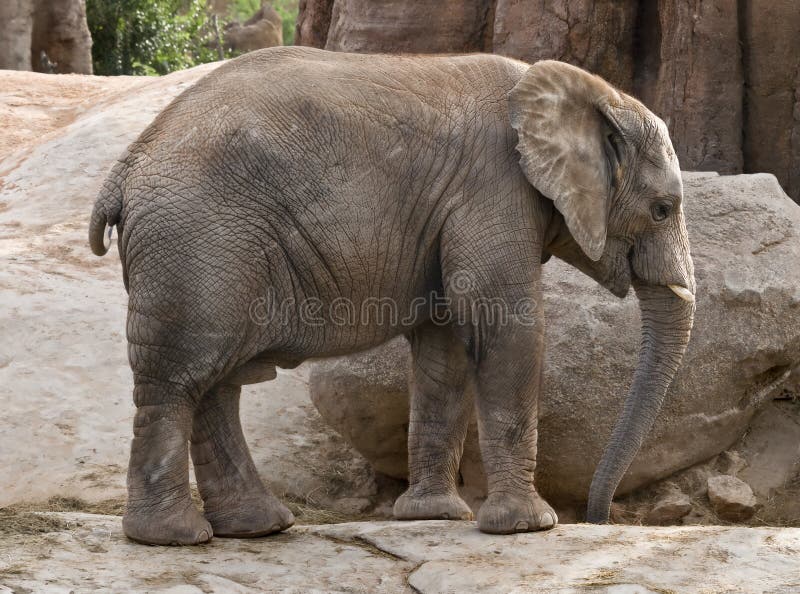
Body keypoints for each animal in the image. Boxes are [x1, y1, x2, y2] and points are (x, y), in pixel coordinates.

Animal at [89, 47, 695, 546]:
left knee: (216, 382)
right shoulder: (493, 189)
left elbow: (445, 346)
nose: (600, 519)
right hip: (198, 241)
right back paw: (171, 537)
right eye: (662, 209)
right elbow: (504, 326)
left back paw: (257, 527)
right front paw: (528, 526)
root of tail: (124, 167)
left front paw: (433, 516)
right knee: (182, 376)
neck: (589, 92)